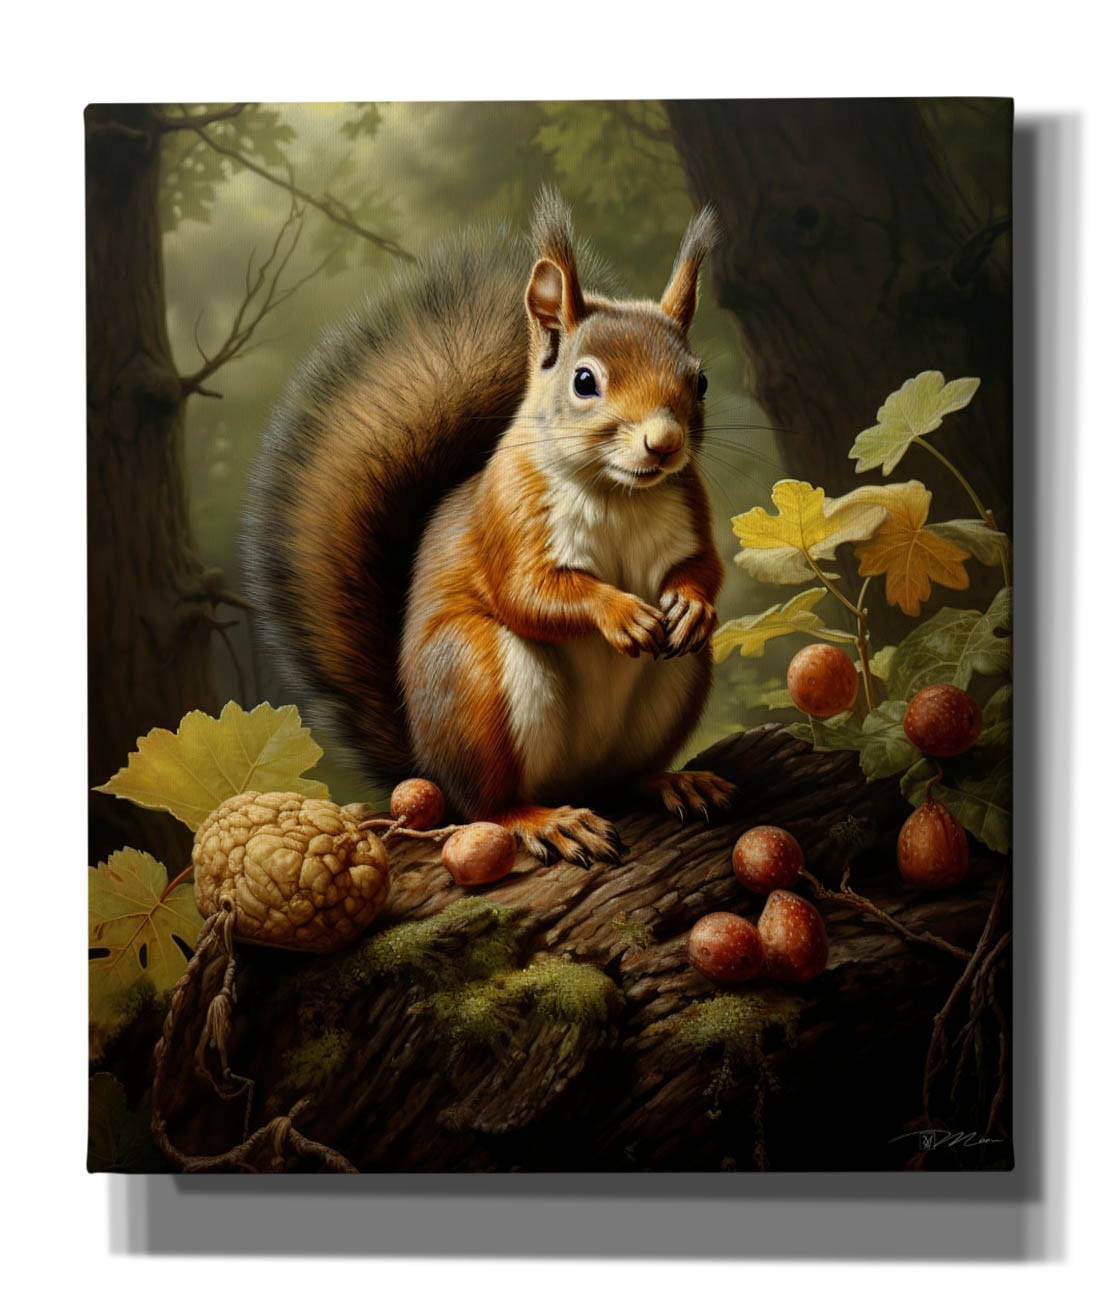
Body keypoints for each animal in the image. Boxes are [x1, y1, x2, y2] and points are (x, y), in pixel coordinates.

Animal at [244, 191, 734, 867]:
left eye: (701, 380)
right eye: (584, 380)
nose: (664, 444)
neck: (618, 492)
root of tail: (429, 765)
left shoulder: (690, 509)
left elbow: (704, 567)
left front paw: (691, 606)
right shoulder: (508, 514)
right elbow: (529, 593)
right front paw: (621, 613)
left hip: (676, 682)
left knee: (626, 776)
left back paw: (670, 779)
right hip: (476, 683)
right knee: (488, 804)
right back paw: (545, 821)